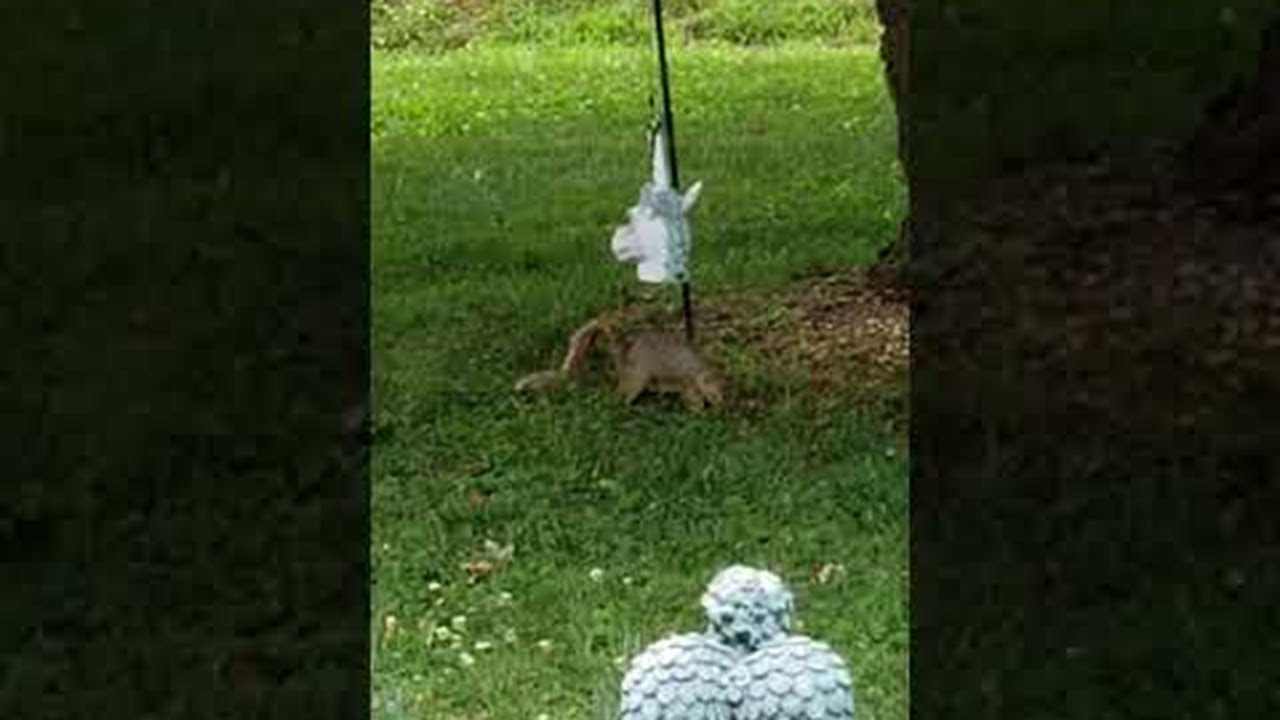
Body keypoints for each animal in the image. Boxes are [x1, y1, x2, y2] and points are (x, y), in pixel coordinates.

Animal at [515, 315, 725, 411]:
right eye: (716, 390)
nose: (723, 405)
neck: (700, 372)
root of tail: (623, 352)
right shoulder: (691, 382)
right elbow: (693, 399)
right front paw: (699, 411)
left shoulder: (688, 384)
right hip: (635, 378)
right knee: (622, 396)